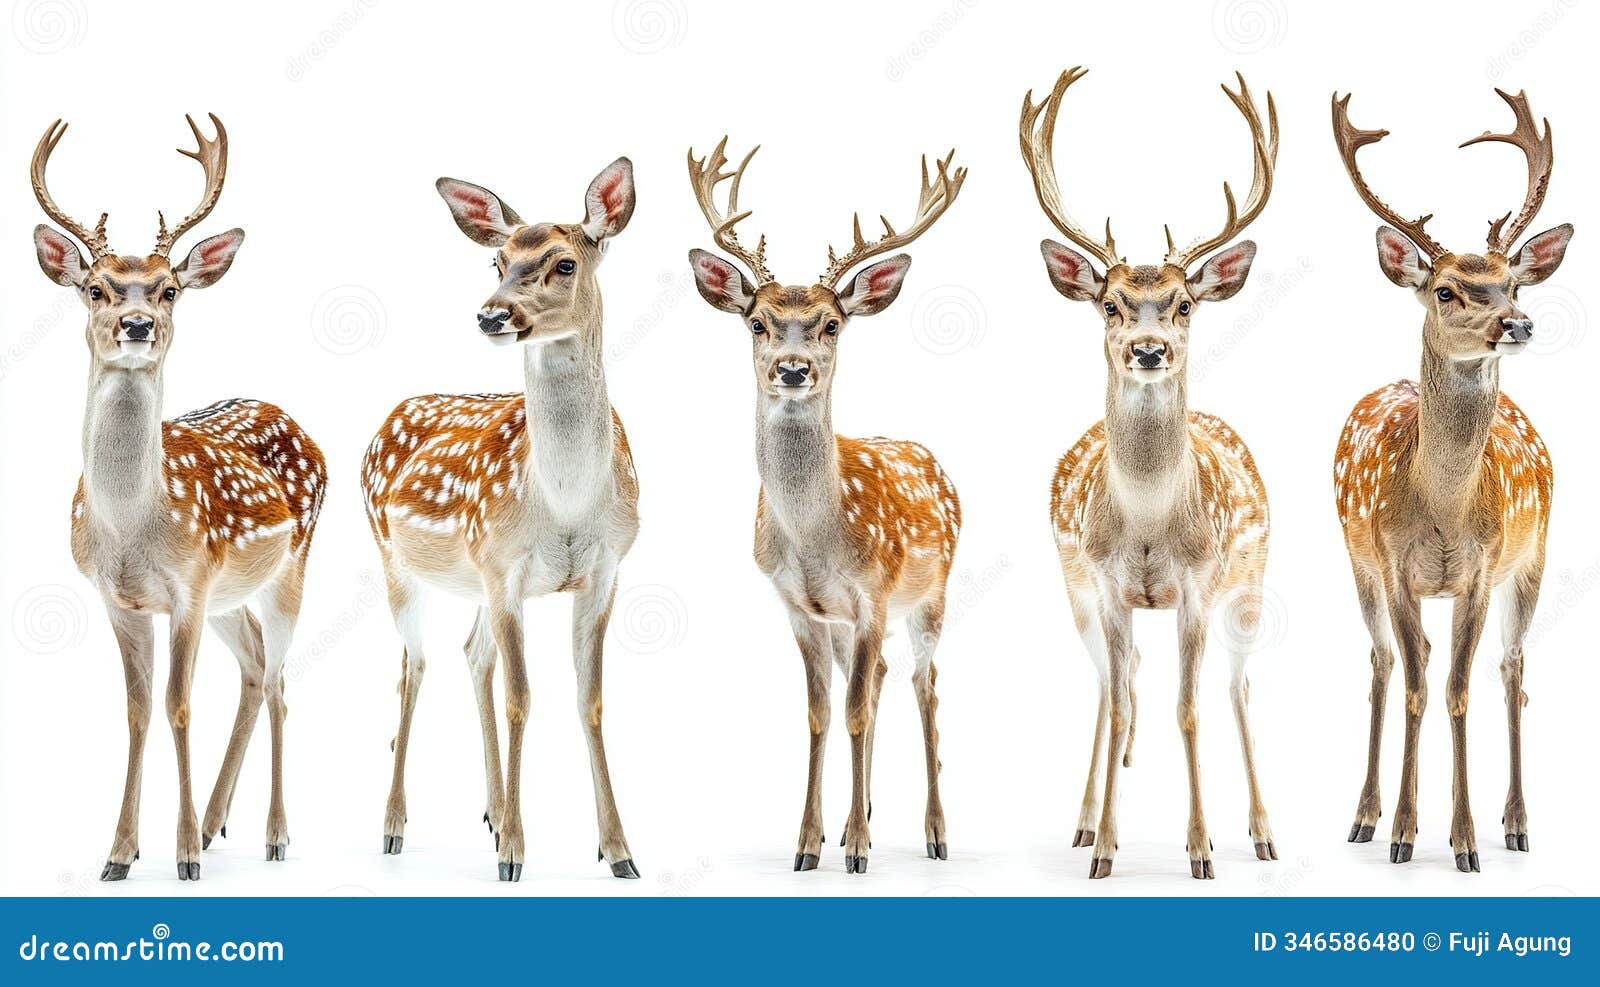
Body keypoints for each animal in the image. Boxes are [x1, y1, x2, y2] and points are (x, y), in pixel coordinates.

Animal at [29, 115, 327, 882]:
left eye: (168, 290)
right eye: (96, 288)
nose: (136, 326)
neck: (134, 528)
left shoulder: (188, 587)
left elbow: (179, 704)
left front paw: (184, 852)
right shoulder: (119, 598)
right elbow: (137, 709)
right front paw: (119, 853)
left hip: (290, 567)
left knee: (279, 681)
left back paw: (274, 835)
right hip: (230, 596)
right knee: (252, 670)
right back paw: (223, 821)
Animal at [361, 159, 640, 882]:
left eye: (564, 263)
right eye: (497, 260)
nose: (492, 315)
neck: (564, 502)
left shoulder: (605, 570)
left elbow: (590, 699)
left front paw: (619, 850)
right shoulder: (505, 568)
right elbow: (523, 697)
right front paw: (516, 852)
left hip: (474, 577)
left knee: (470, 652)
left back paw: (489, 810)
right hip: (394, 557)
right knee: (413, 667)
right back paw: (395, 826)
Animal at [686, 137, 964, 874]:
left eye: (832, 324)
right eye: (757, 321)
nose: (792, 368)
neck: (816, 538)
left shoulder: (873, 594)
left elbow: (857, 712)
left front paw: (861, 850)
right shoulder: (800, 606)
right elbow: (819, 714)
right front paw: (810, 843)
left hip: (931, 594)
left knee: (923, 684)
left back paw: (934, 832)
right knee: (881, 680)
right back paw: (852, 820)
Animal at [1021, 68, 1280, 880]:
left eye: (1185, 303)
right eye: (1109, 303)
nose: (1148, 348)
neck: (1145, 529)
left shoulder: (1198, 586)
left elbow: (1189, 706)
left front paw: (1201, 849)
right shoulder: (1105, 587)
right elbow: (1127, 702)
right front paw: (1105, 846)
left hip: (1250, 582)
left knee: (1238, 685)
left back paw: (1262, 830)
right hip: (1072, 587)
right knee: (1115, 685)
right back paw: (1082, 821)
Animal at [1329, 89, 1572, 872]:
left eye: (1513, 282)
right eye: (1444, 290)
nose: (1517, 323)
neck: (1441, 510)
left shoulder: (1483, 570)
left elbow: (1461, 689)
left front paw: (1466, 840)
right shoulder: (1394, 566)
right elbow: (1416, 686)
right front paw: (1405, 832)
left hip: (1535, 557)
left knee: (1513, 668)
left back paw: (1517, 822)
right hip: (1358, 565)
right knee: (1384, 662)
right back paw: (1365, 815)